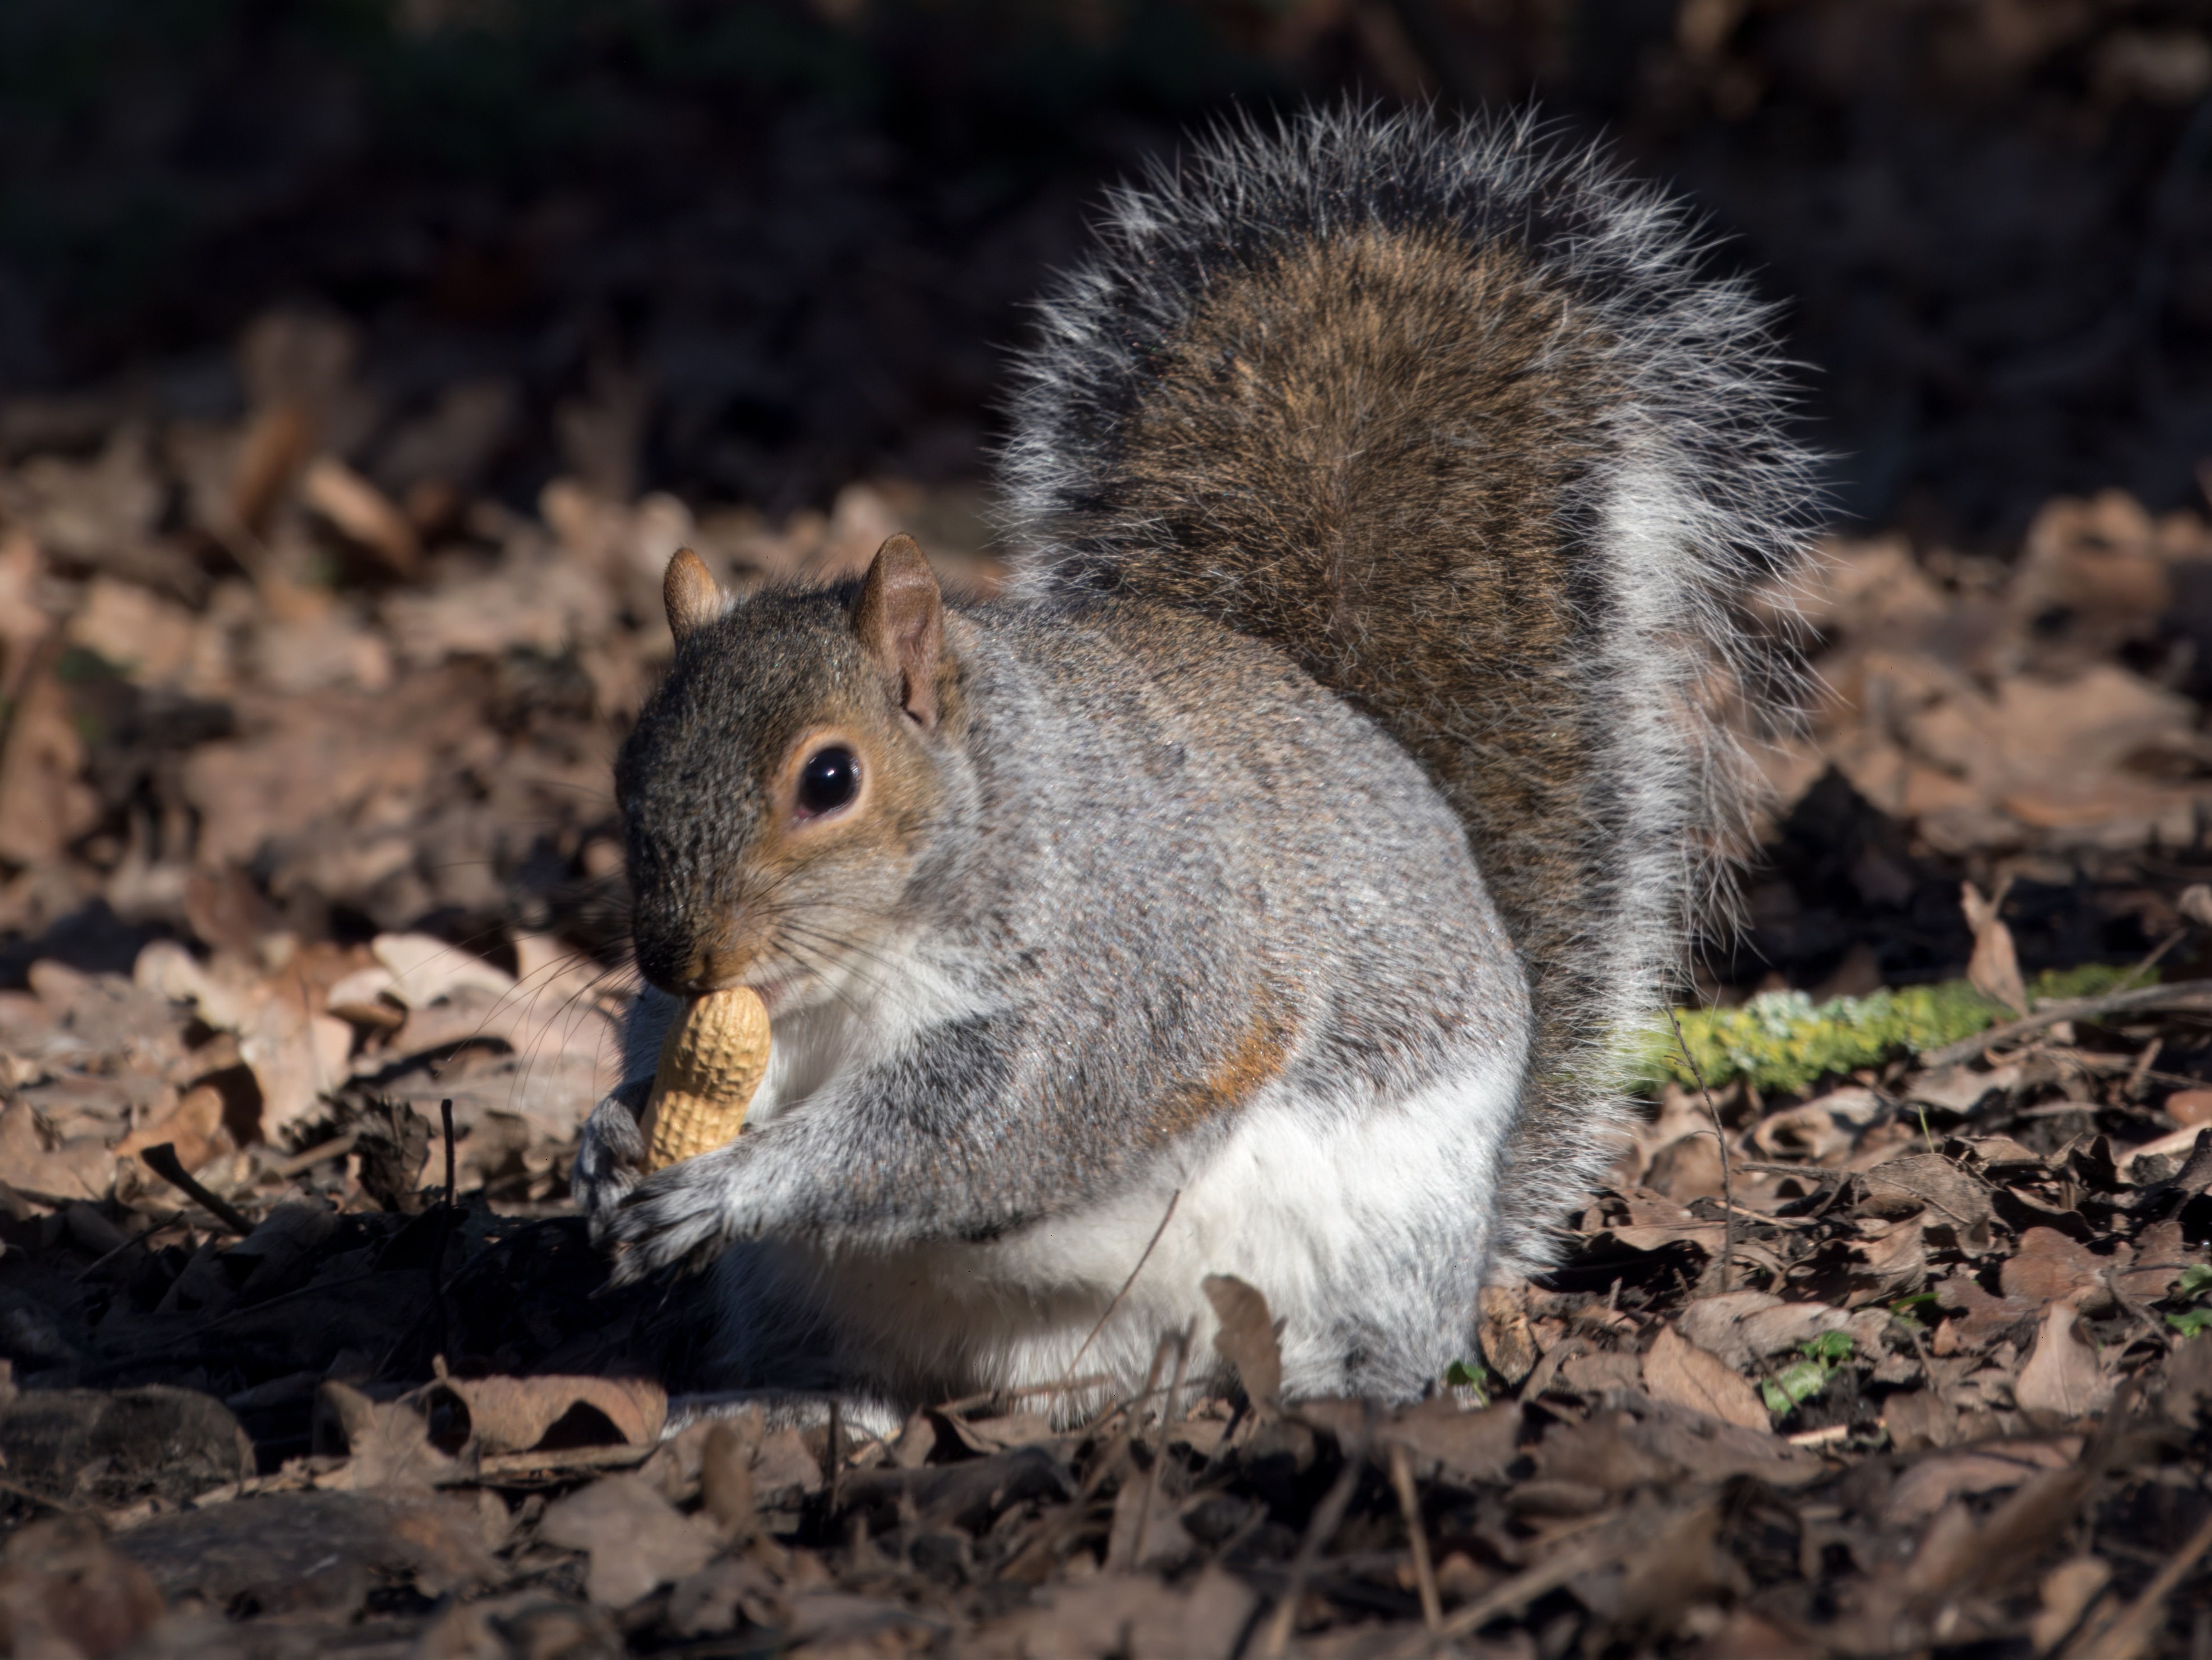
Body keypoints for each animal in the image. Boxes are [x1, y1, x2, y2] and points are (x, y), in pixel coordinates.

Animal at [572, 105, 1815, 1414]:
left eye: (829, 779)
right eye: (627, 765)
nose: (679, 954)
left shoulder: (1125, 979)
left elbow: (966, 1131)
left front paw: (740, 1181)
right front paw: (608, 1134)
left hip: (1367, 1246)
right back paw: (793, 1402)